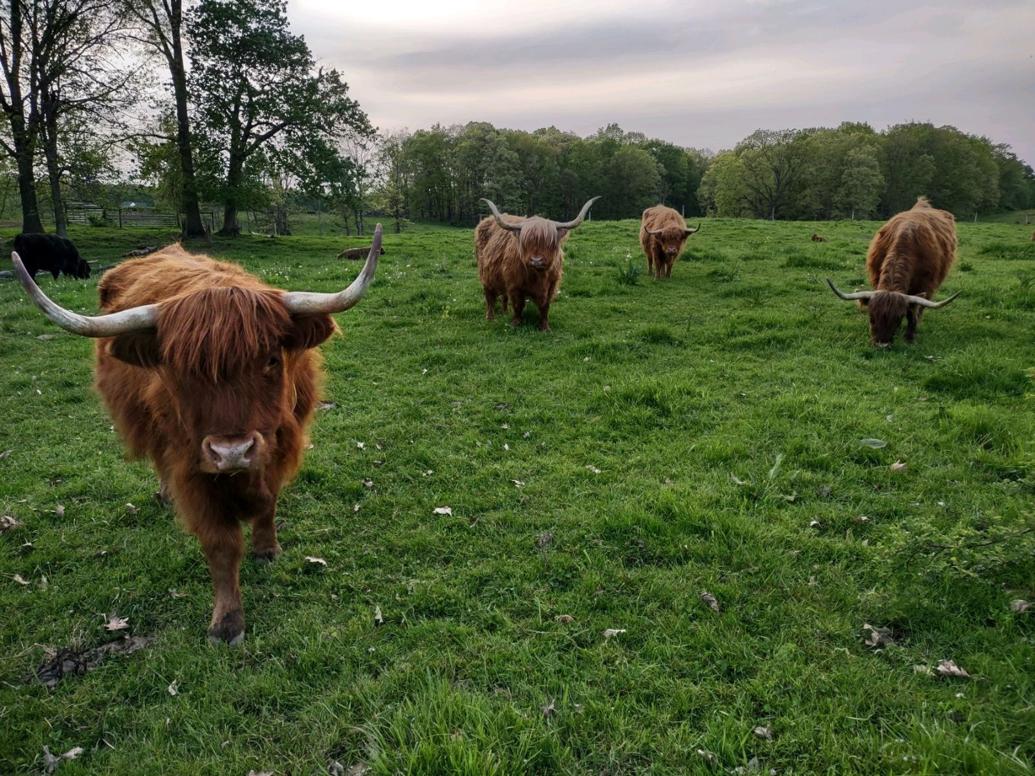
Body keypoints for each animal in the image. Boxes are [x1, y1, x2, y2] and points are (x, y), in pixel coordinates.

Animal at [11, 226, 382, 644]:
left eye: (271, 359)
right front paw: (227, 622)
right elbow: (221, 544)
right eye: (178, 369)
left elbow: (268, 503)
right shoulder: (192, 468)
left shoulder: (279, 445)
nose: (232, 451)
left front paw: (267, 548)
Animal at [475, 197, 599, 330]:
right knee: (489, 297)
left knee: (504, 296)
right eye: (526, 242)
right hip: (485, 273)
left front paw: (545, 327)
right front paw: (515, 323)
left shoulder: (551, 285)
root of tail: (485, 220)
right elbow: (518, 305)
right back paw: (490, 318)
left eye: (549, 242)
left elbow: (545, 307)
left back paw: (505, 312)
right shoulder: (514, 284)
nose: (536, 260)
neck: (537, 275)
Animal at [827, 198, 959, 347]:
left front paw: (910, 336)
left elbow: (913, 312)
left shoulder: (925, 285)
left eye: (897, 319)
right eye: (871, 316)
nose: (882, 344)